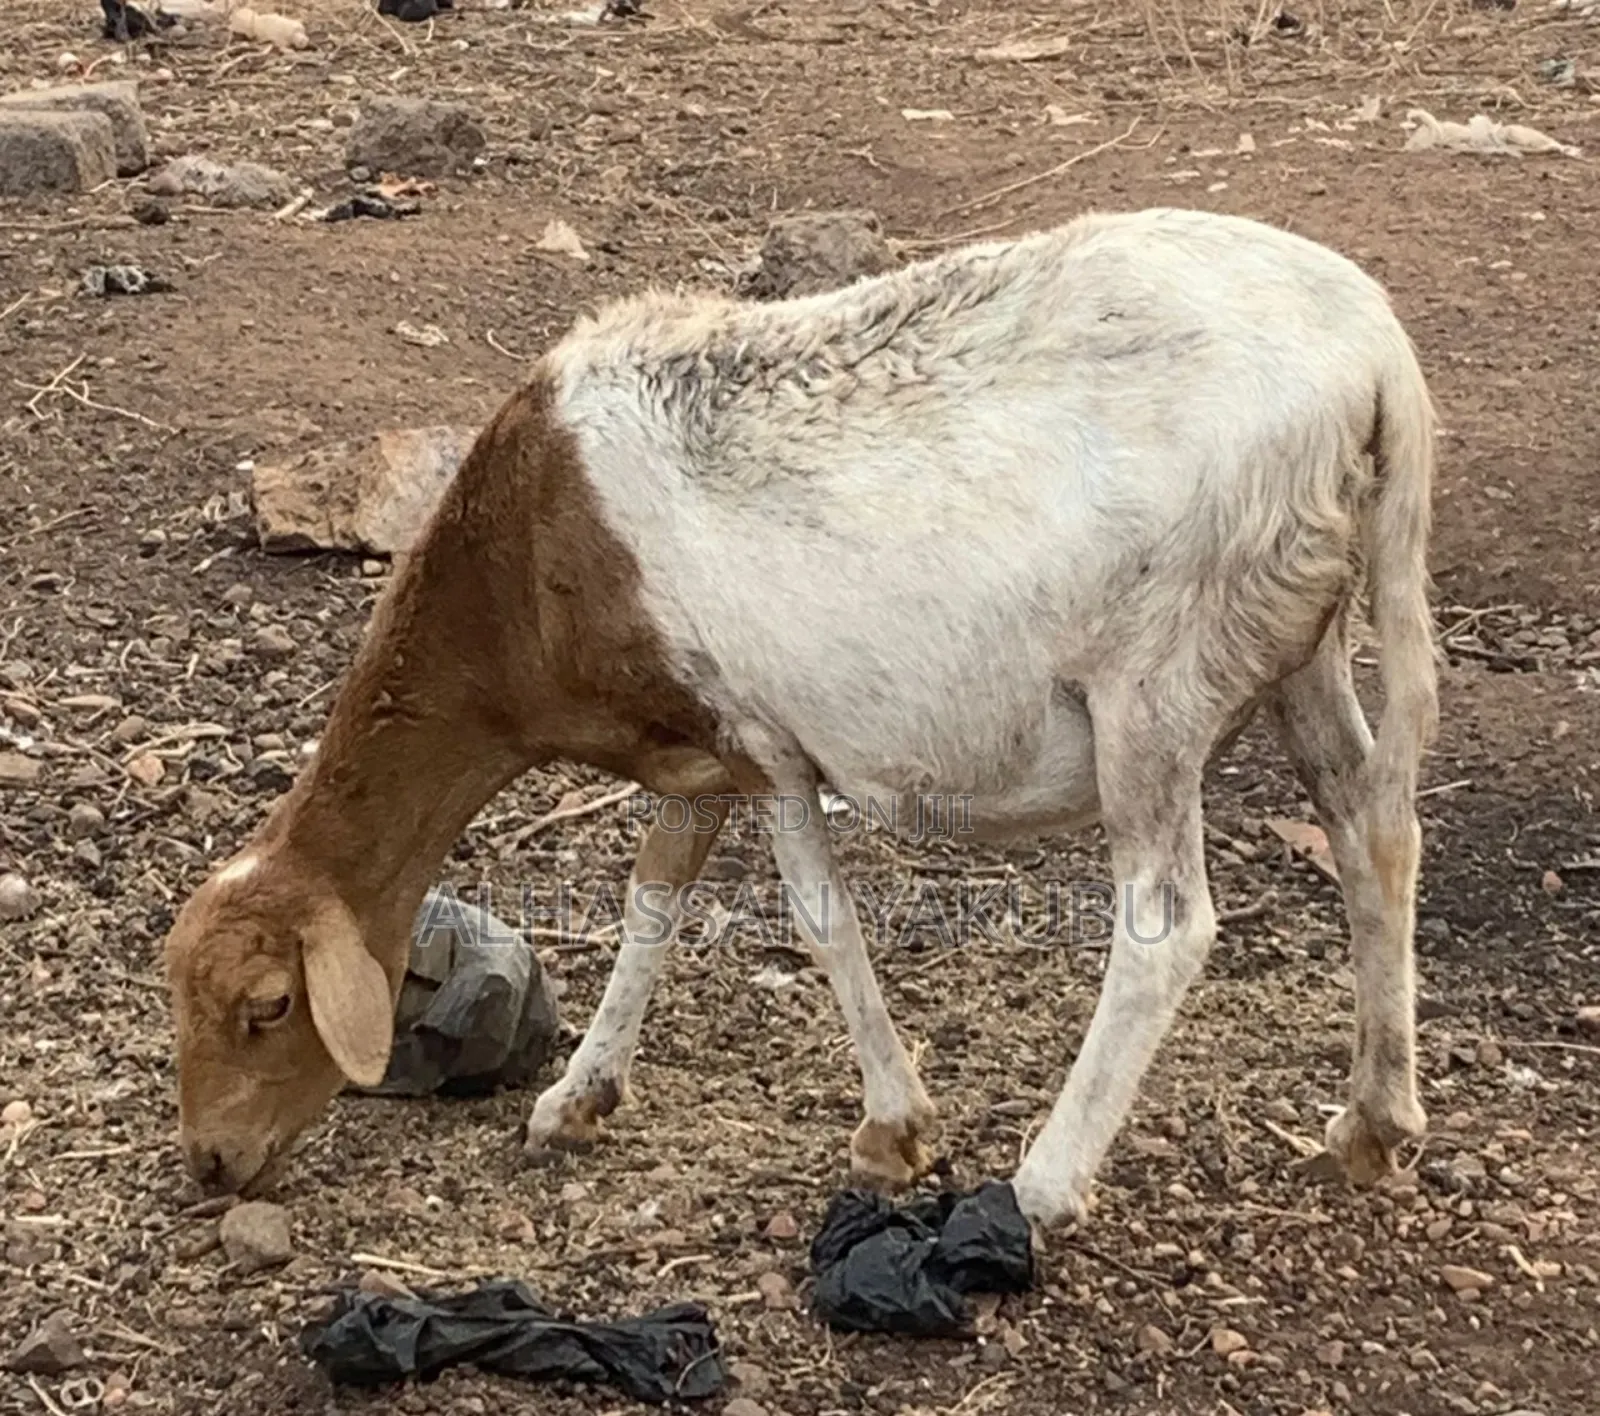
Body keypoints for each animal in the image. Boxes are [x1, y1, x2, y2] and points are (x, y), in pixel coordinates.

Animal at [163, 206, 1438, 1229]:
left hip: (1158, 673)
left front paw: (894, 1128)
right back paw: (1375, 1121)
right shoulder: (693, 752)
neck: (518, 582)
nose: (211, 1166)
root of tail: (1379, 361)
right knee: (1372, 827)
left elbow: (821, 922)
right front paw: (579, 1096)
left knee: (1166, 927)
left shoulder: (758, 738)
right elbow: (652, 902)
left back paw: (1044, 1182)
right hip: (1299, 632)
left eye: (267, 1006)